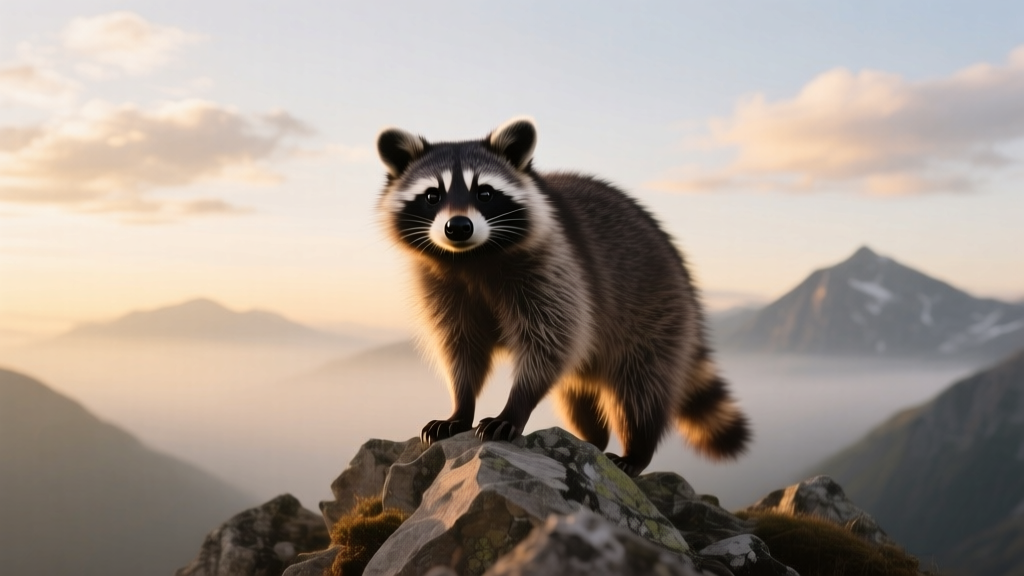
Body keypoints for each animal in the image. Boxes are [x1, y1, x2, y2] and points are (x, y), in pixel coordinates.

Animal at [376, 117, 749, 476]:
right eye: (432, 196)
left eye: (485, 193)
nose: (458, 227)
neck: (472, 259)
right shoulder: (442, 287)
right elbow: (461, 346)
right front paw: (461, 406)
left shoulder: (556, 268)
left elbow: (550, 342)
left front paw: (515, 407)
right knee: (578, 399)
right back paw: (592, 440)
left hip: (656, 314)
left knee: (640, 389)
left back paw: (636, 450)